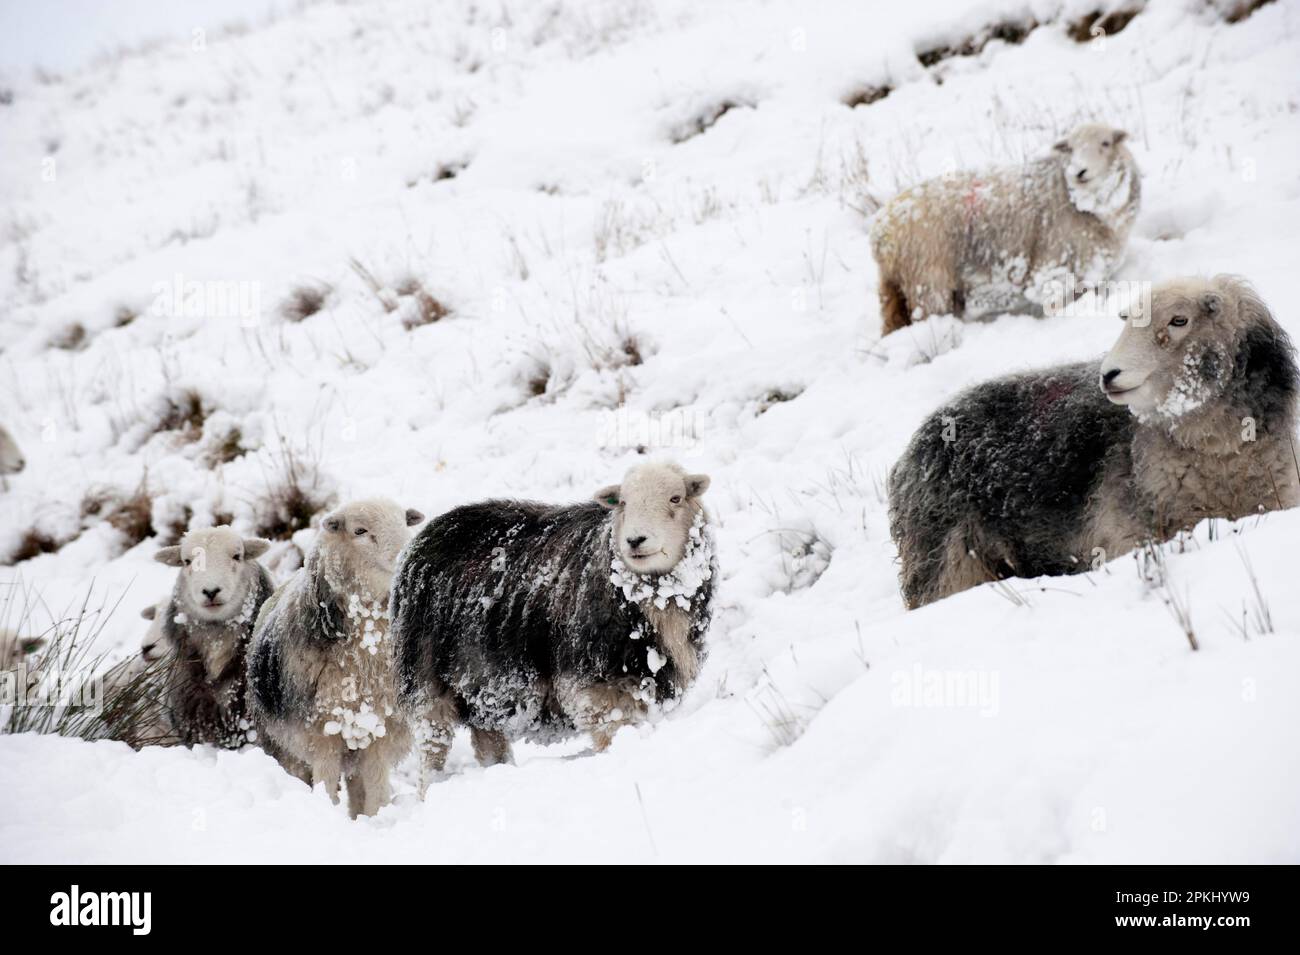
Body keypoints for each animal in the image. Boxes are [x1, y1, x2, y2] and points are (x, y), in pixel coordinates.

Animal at [246, 499, 424, 818]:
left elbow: (377, 788)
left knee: (357, 787)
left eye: (405, 522)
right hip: (285, 745)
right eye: (359, 531)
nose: (406, 556)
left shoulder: (380, 731)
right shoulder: (320, 735)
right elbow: (326, 785)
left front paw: (377, 817)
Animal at [391, 460, 717, 785]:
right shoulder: (595, 688)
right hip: (426, 682)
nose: (635, 541)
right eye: (622, 502)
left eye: (676, 498)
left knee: (488, 739)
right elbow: (611, 734)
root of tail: (426, 534)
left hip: (484, 685)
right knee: (433, 749)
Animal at [870, 123, 1140, 334]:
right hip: (928, 279)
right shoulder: (1049, 265)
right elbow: (1053, 300)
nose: (1079, 172)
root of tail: (880, 232)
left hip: (894, 288)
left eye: (1105, 143)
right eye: (1070, 148)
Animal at [888, 275, 1298, 608]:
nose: (1109, 375)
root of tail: (914, 446)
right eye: (1126, 320)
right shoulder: (1126, 538)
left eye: (1179, 320)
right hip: (948, 562)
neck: (1218, 452)